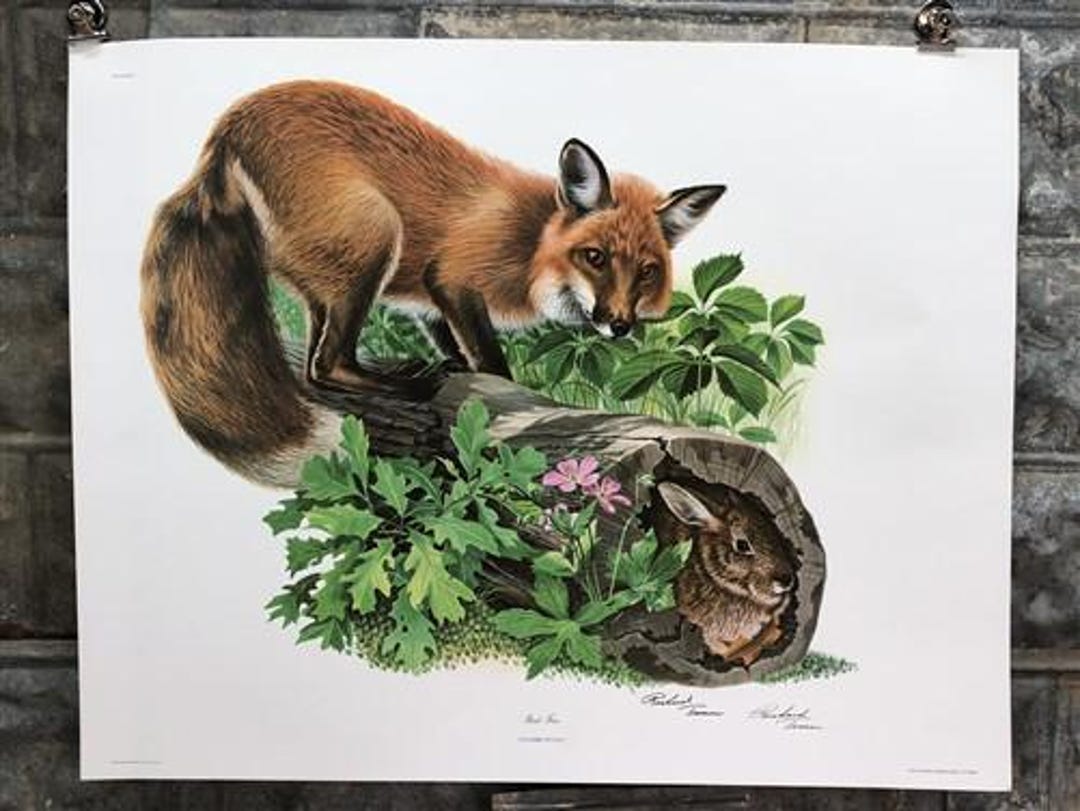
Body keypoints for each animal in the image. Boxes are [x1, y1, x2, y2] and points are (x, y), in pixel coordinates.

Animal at [140, 80, 725, 487]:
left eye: (646, 271)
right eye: (595, 257)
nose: (620, 325)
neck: (530, 239)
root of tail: (222, 135)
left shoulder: (432, 302)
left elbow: (459, 349)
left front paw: (456, 369)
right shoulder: (453, 277)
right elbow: (491, 361)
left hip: (328, 279)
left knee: (311, 365)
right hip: (374, 237)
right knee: (326, 365)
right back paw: (405, 388)